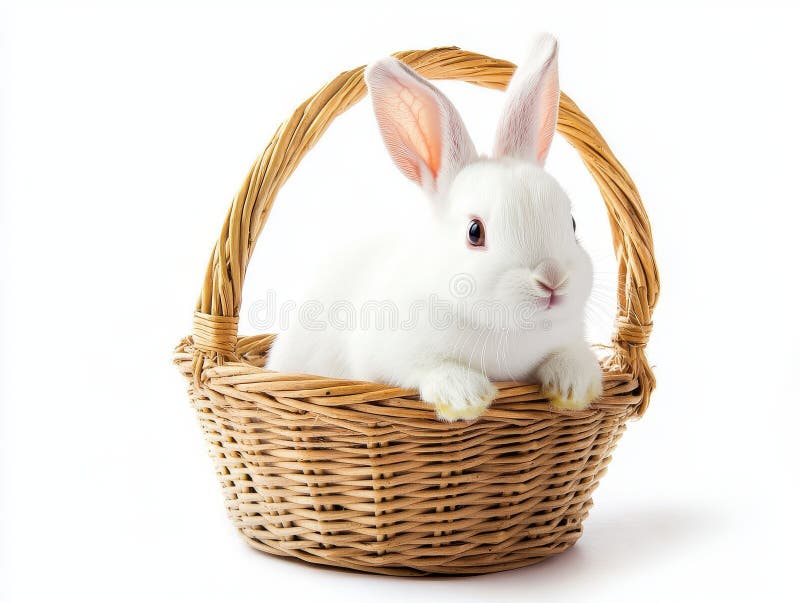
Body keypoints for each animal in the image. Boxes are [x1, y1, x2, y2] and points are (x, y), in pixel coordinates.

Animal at [266, 33, 602, 421]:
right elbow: (429, 368)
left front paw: (573, 388)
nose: (552, 279)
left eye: (572, 223)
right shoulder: (389, 356)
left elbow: (571, 356)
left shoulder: (570, 338)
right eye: (475, 232)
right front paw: (466, 398)